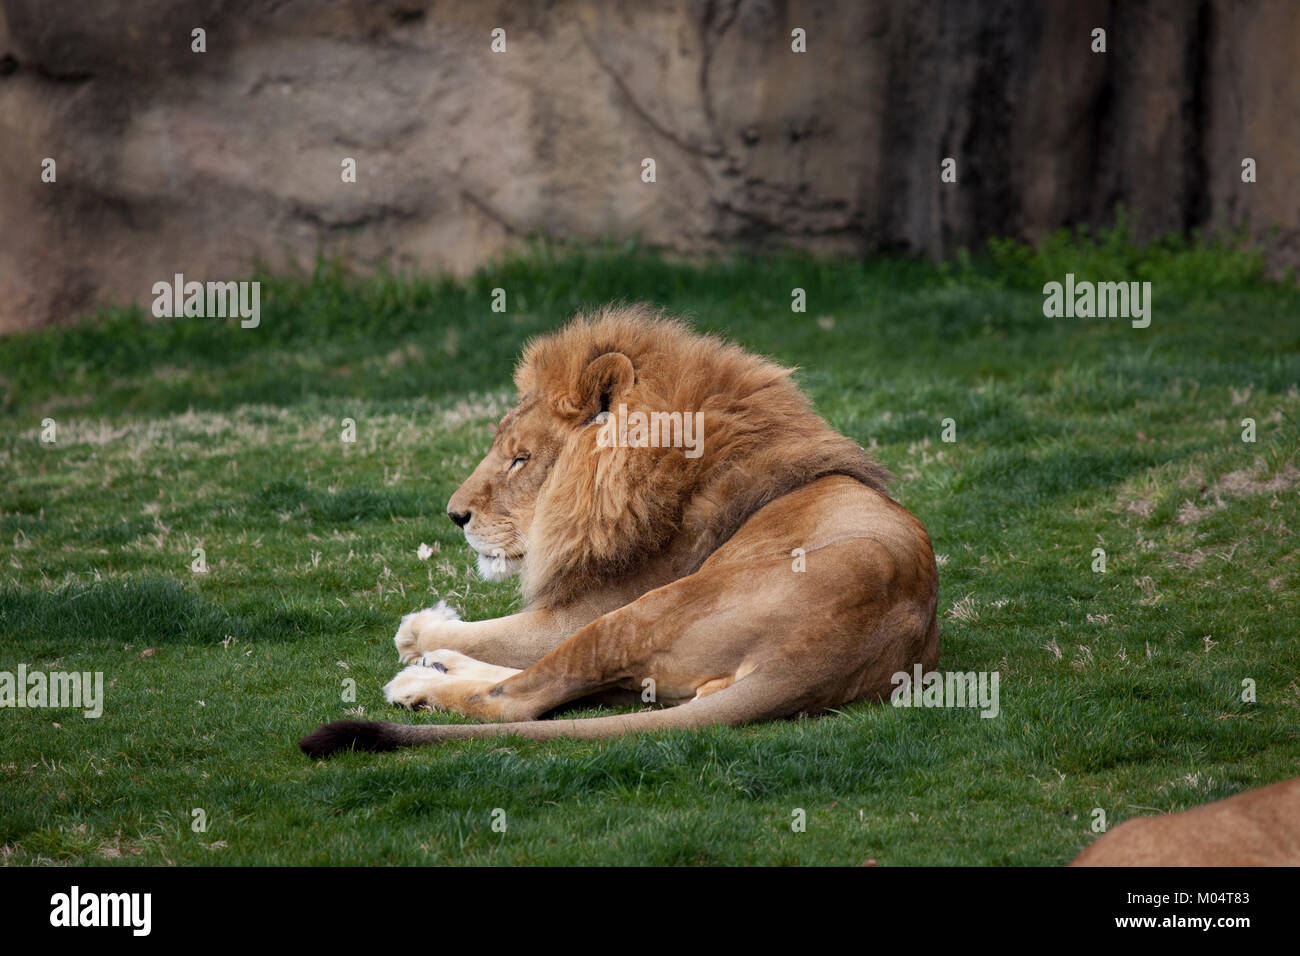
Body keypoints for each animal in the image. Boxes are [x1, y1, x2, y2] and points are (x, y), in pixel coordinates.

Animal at [300, 305, 939, 757]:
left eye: (520, 460)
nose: (455, 516)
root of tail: (814, 658)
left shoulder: (586, 607)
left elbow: (490, 637)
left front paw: (420, 630)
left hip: (641, 612)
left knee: (520, 700)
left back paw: (418, 684)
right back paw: (438, 669)